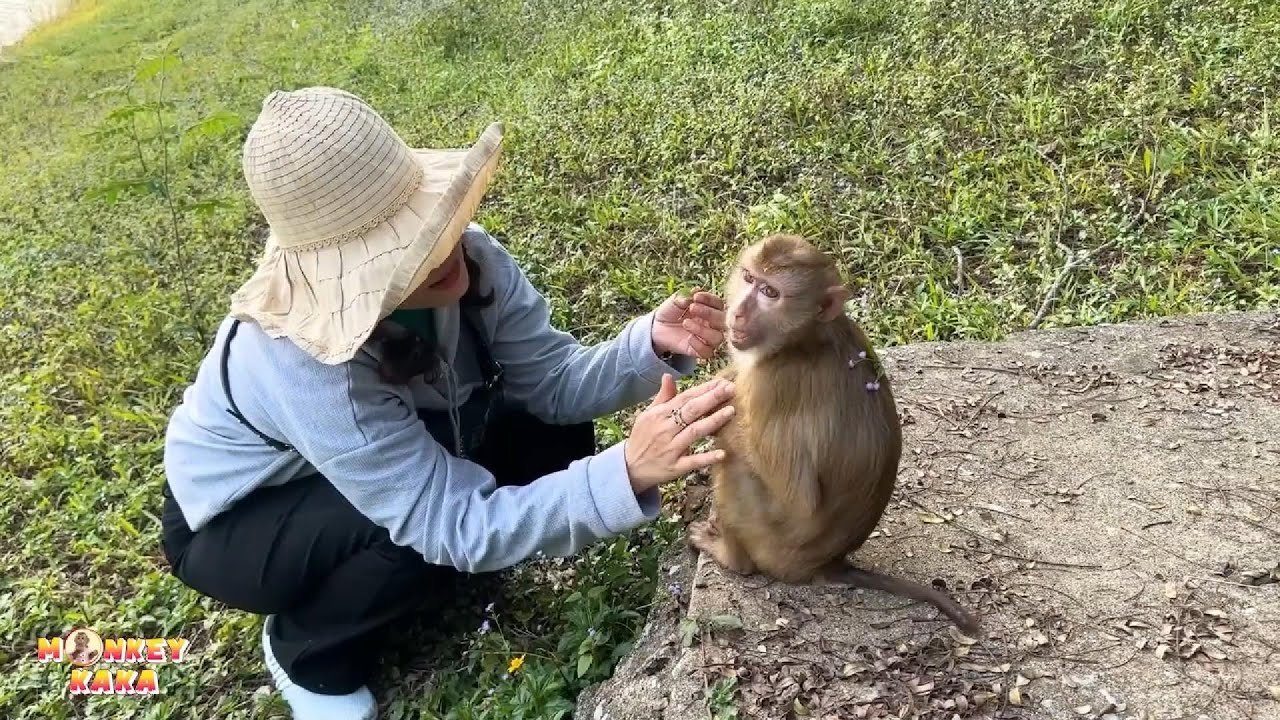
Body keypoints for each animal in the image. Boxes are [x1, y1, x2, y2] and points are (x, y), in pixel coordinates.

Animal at [688, 233, 981, 637]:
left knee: (733, 462)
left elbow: (797, 496)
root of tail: (830, 562)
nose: (739, 313)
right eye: (749, 278)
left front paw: (715, 407)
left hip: (771, 543)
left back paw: (734, 558)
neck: (804, 337)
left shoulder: (773, 384)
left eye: (770, 292)